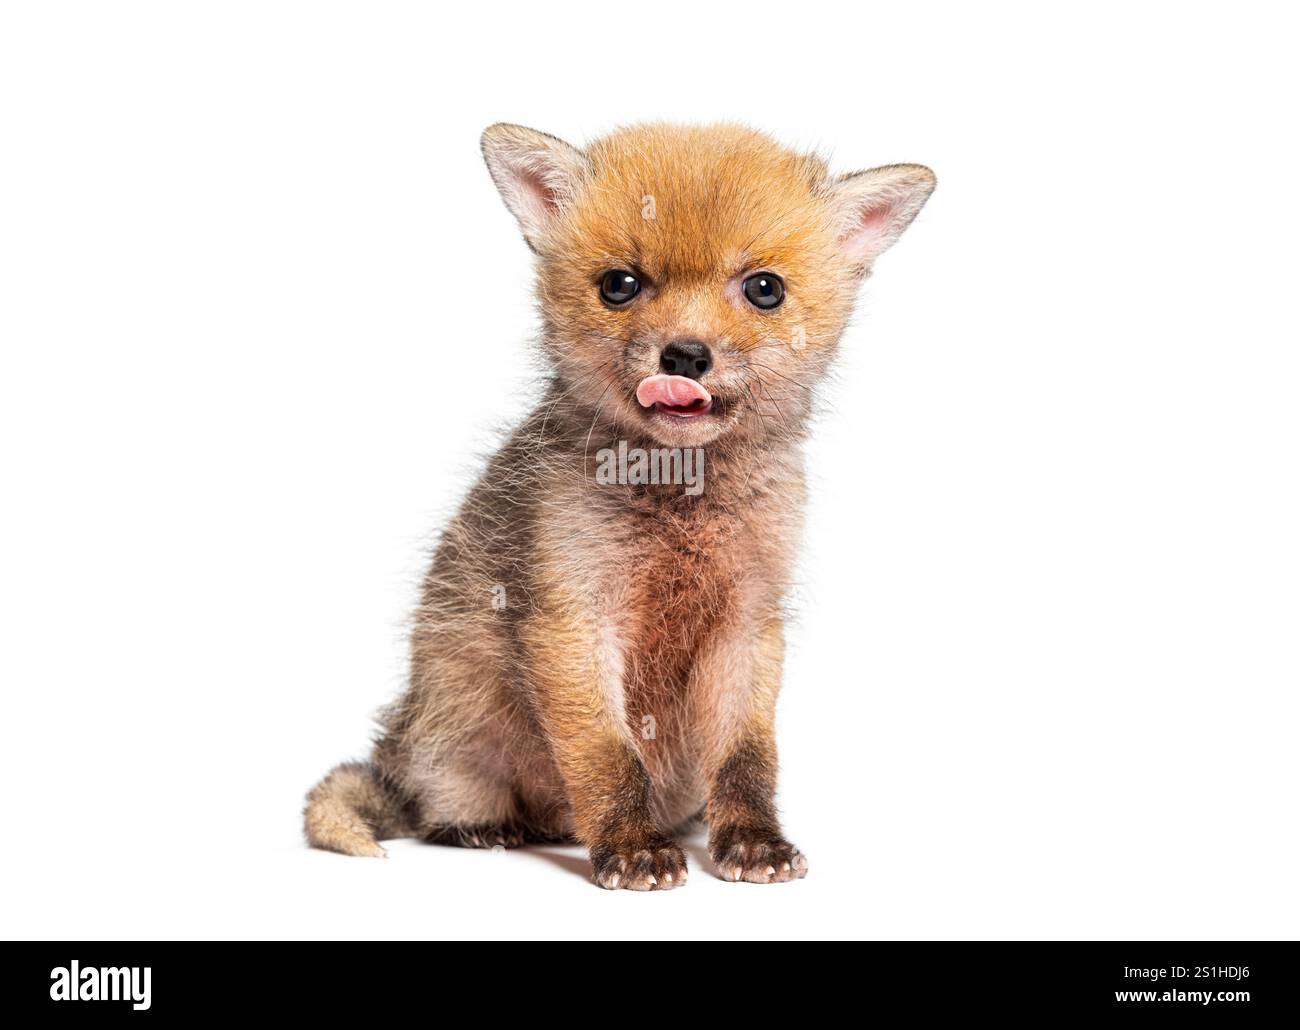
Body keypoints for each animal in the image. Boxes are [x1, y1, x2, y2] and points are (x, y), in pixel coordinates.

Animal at [304, 122, 935, 889]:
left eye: (764, 289)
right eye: (620, 285)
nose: (684, 357)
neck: (679, 496)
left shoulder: (748, 623)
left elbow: (747, 758)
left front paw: (753, 840)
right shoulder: (571, 617)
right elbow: (606, 754)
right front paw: (633, 846)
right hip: (451, 741)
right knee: (437, 808)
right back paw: (484, 828)